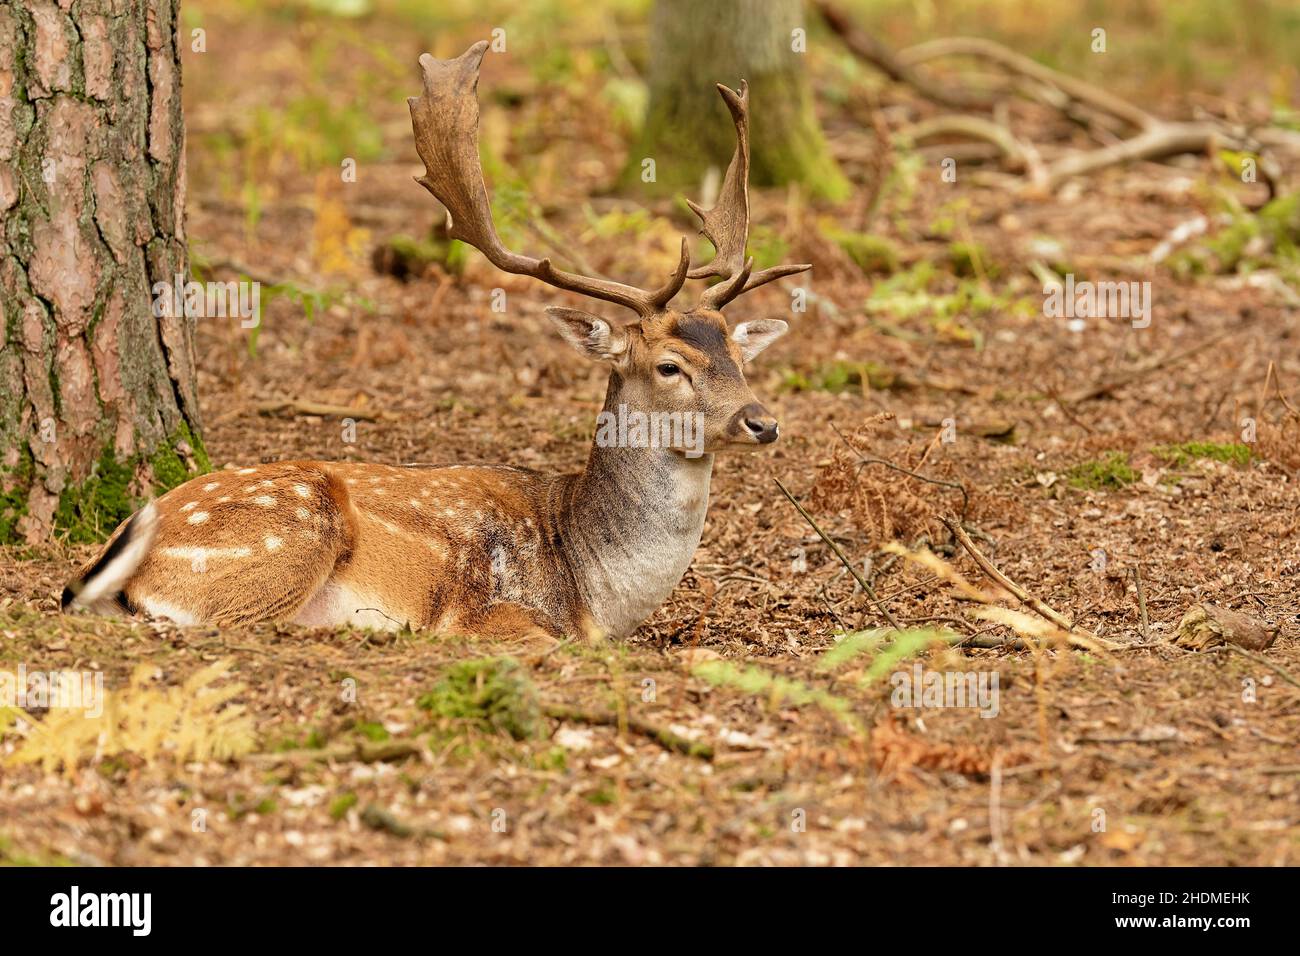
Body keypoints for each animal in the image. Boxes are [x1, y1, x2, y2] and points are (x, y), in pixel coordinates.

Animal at [61, 40, 811, 642]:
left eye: (739, 357)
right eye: (668, 366)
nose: (763, 421)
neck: (593, 585)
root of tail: (109, 566)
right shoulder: (488, 614)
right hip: (290, 535)